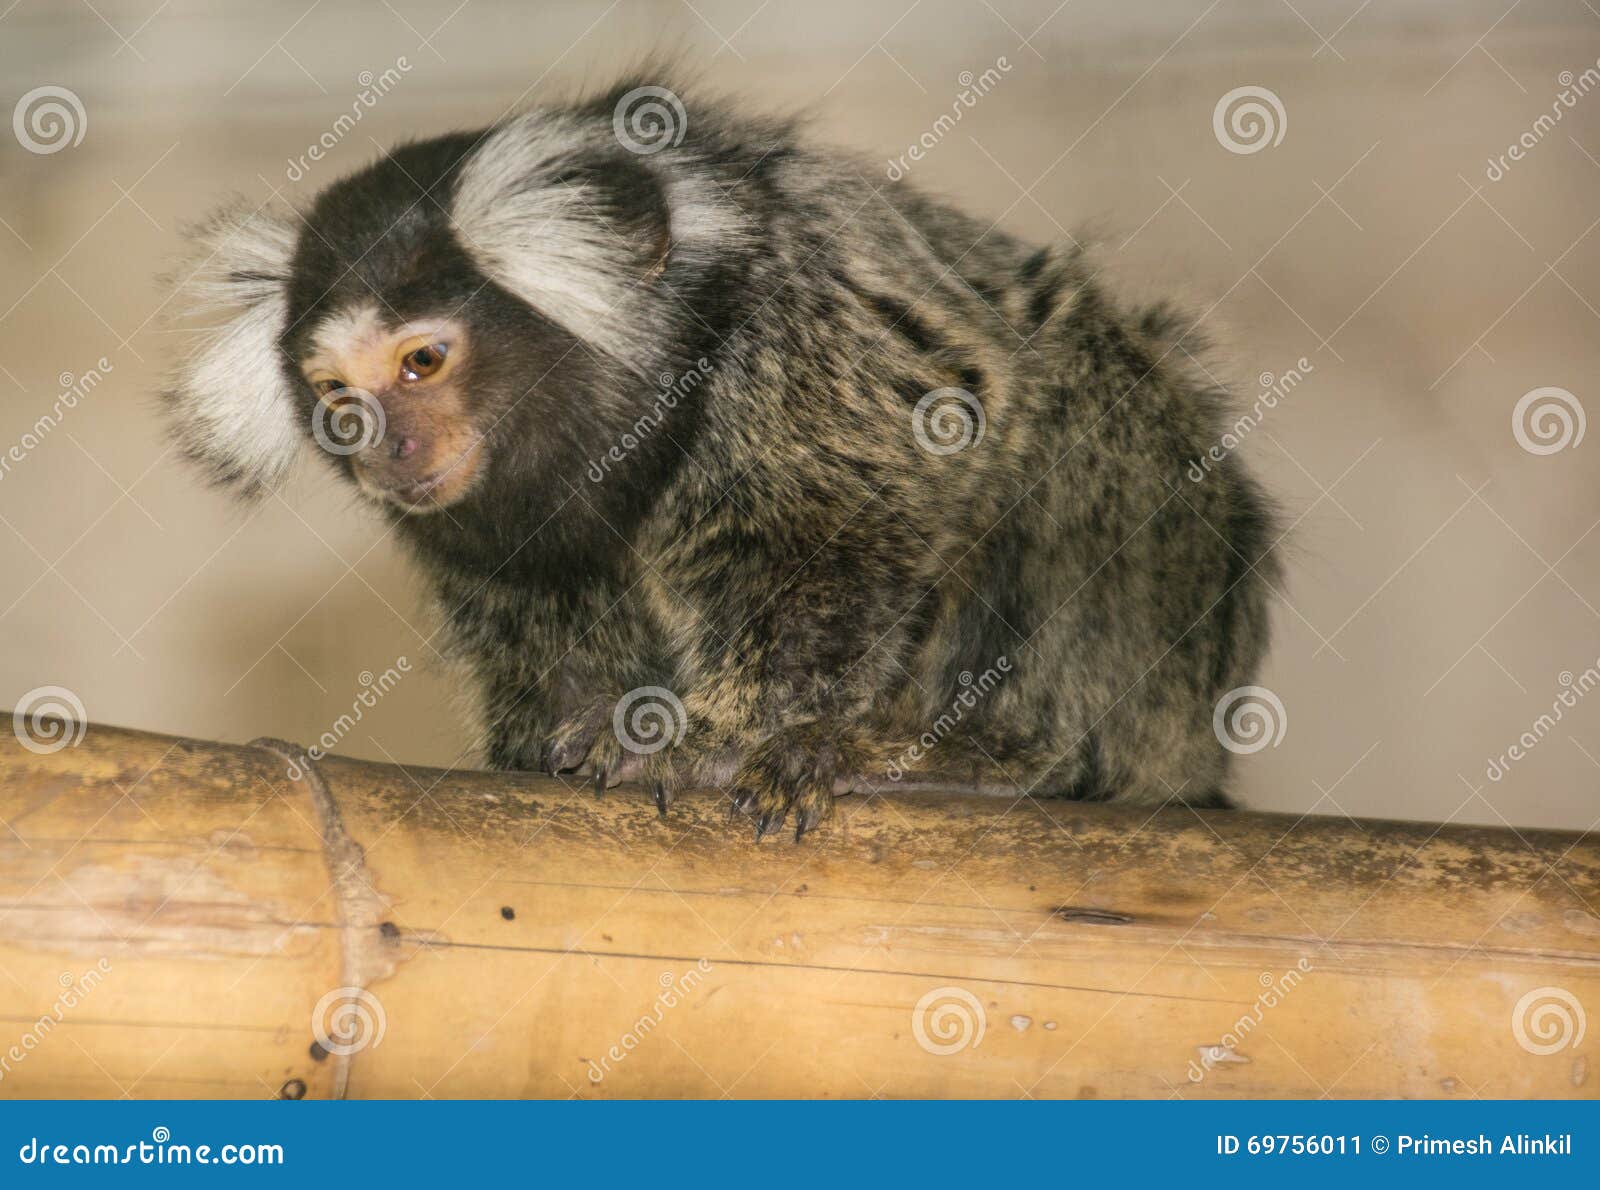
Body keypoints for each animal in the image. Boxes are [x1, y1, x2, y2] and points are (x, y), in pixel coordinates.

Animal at [162, 73, 1280, 841]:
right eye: (335, 398)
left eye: (423, 360)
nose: (386, 448)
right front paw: (569, 734)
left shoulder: (792, 348)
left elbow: (822, 550)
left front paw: (718, 739)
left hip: (1168, 629)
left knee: (1077, 387)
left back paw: (981, 760)